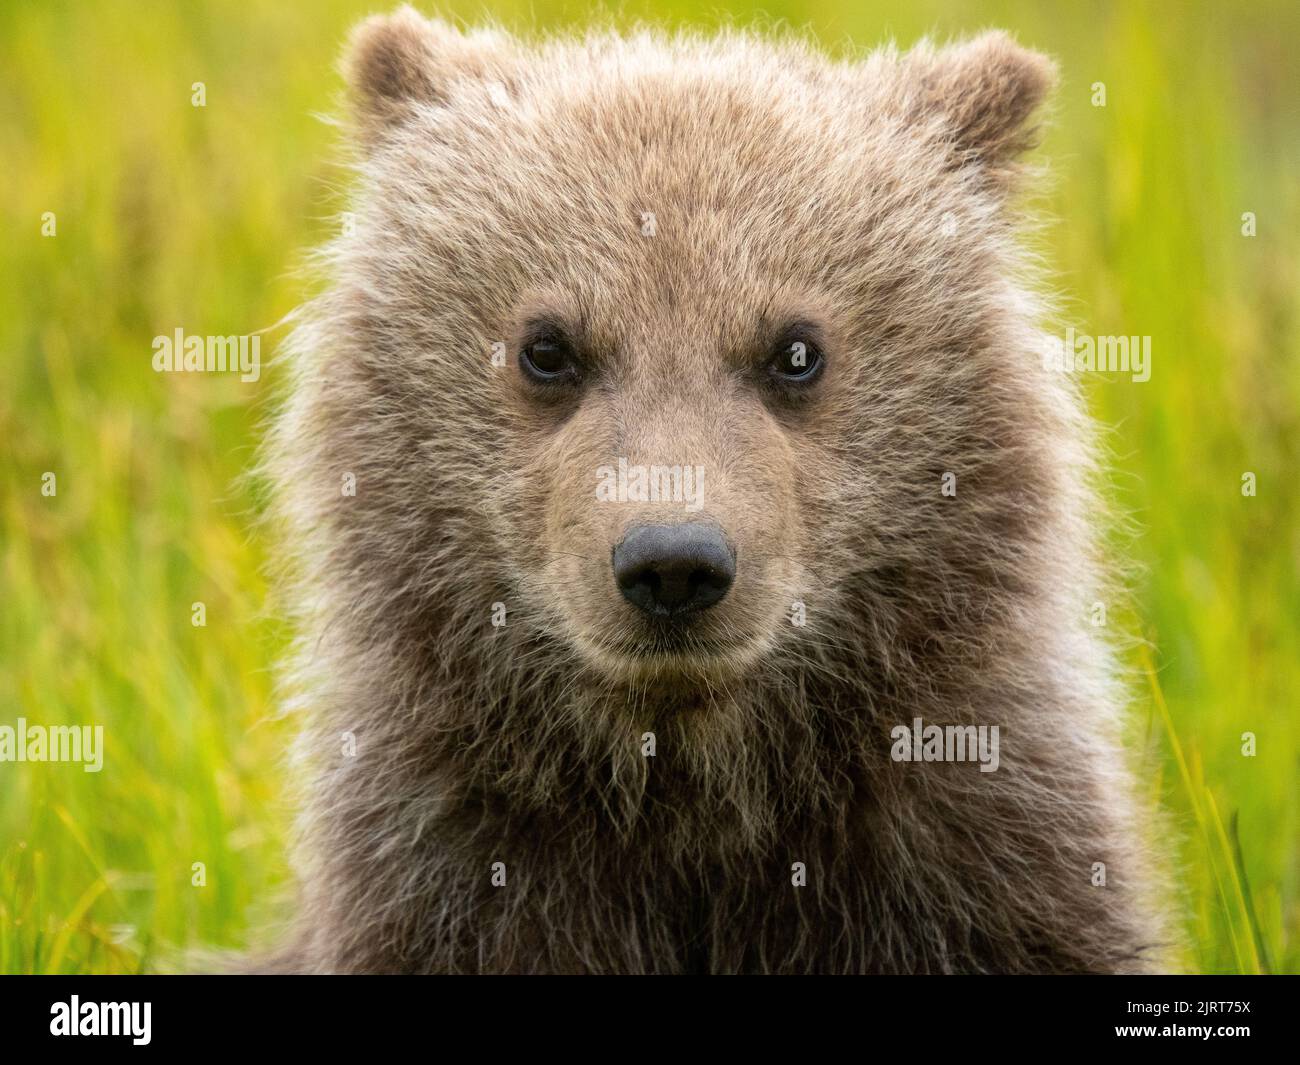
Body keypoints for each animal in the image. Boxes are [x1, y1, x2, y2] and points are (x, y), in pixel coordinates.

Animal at [257, 8, 1170, 973]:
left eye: (796, 349)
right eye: (546, 347)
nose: (673, 563)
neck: (700, 779)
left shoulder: (978, 847)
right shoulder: (451, 862)